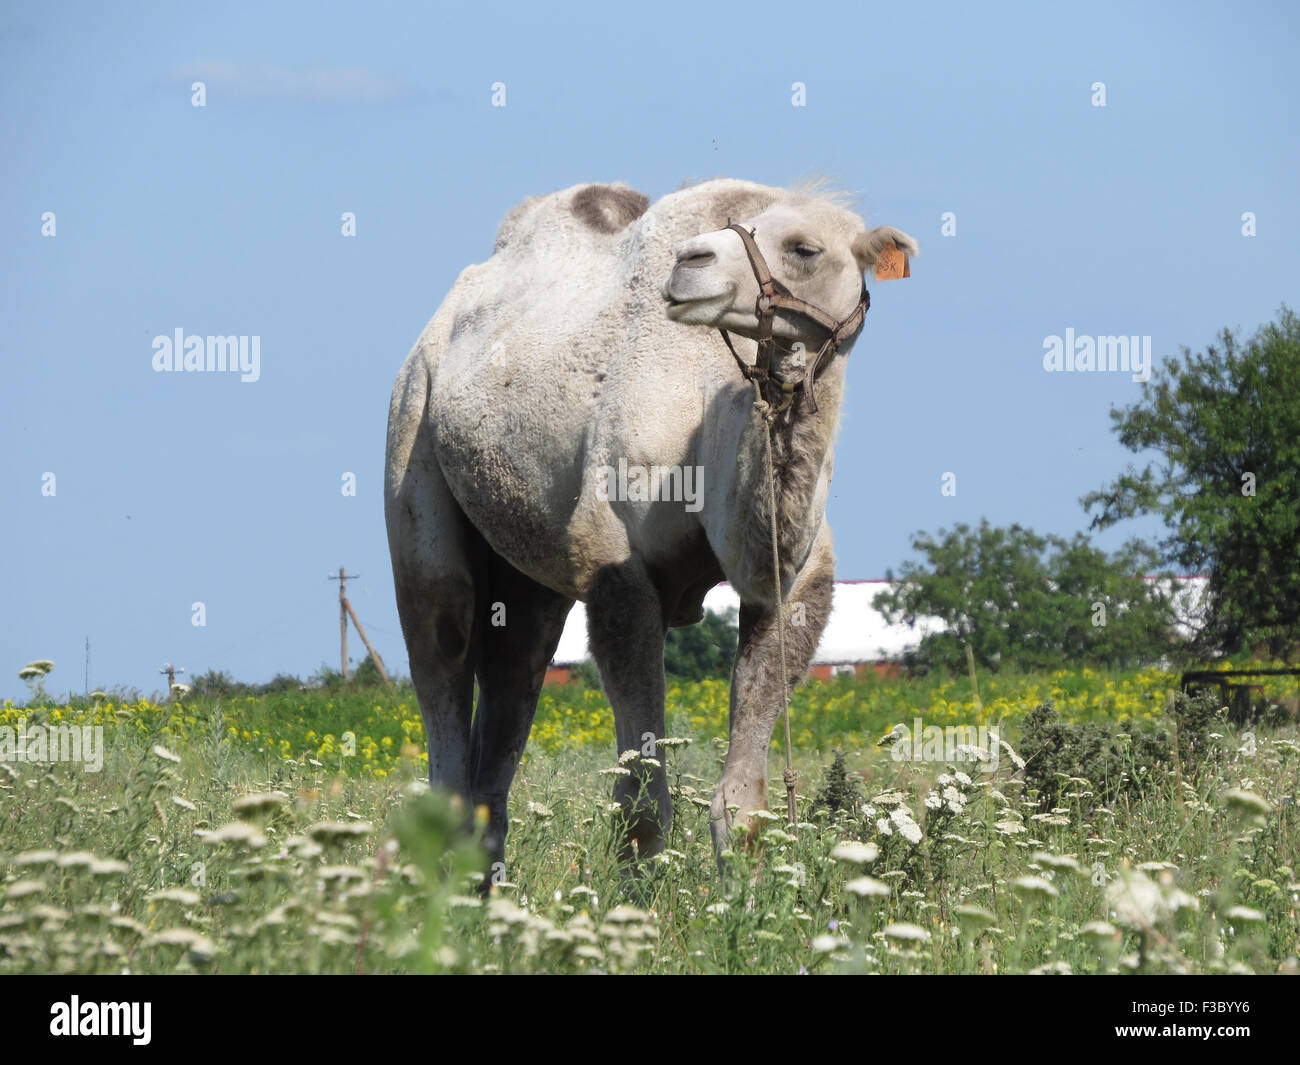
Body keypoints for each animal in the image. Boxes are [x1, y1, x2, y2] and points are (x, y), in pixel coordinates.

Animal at [385, 178, 916, 871]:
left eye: (805, 247)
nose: (691, 264)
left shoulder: (796, 580)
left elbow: (743, 800)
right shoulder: (613, 562)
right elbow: (641, 804)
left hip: (529, 582)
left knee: (510, 684)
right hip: (410, 439)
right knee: (441, 643)